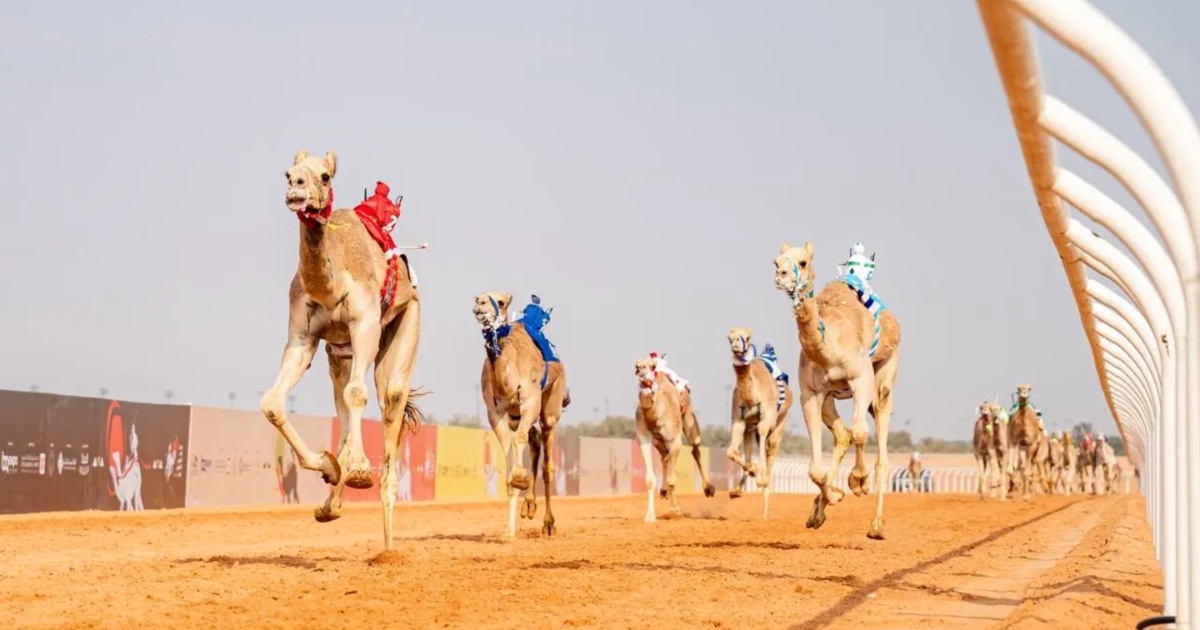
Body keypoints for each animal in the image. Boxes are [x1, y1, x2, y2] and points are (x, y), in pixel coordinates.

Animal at [259, 150, 427, 551]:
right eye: (288, 173)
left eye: (324, 176)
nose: (296, 189)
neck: (330, 287)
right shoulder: (303, 338)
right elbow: (272, 402)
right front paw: (329, 465)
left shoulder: (365, 325)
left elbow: (357, 395)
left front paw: (358, 469)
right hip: (339, 353)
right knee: (343, 400)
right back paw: (330, 503)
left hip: (407, 322)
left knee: (388, 399)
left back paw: (388, 546)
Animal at [473, 292, 571, 539]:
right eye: (478, 297)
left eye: (500, 302)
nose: (480, 303)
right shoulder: (495, 412)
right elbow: (509, 449)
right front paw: (509, 532)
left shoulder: (530, 401)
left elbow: (518, 441)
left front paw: (519, 477)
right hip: (515, 416)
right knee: (534, 441)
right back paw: (529, 505)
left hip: (551, 405)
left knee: (547, 461)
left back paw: (548, 523)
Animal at [633, 354, 717, 523]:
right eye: (636, 366)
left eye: (651, 366)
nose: (640, 369)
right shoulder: (643, 437)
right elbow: (650, 479)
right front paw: (650, 516)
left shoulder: (675, 440)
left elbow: (673, 478)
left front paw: (675, 510)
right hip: (657, 440)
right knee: (664, 457)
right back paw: (663, 490)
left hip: (689, 417)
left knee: (695, 448)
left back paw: (708, 488)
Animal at [726, 327, 794, 518]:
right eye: (729, 338)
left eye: (747, 338)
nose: (736, 345)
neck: (751, 397)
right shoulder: (739, 421)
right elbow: (731, 451)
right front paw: (753, 471)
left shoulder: (767, 419)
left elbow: (763, 440)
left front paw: (760, 477)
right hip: (750, 428)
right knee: (749, 450)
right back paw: (738, 489)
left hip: (781, 422)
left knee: (770, 448)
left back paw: (765, 507)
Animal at [773, 241, 902, 540]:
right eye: (776, 261)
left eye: (804, 261)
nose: (782, 275)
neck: (829, 348)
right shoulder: (810, 393)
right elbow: (815, 470)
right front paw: (833, 496)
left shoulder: (861, 378)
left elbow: (860, 433)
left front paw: (857, 481)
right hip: (830, 398)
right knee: (842, 435)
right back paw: (819, 510)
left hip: (884, 378)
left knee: (877, 444)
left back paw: (876, 525)